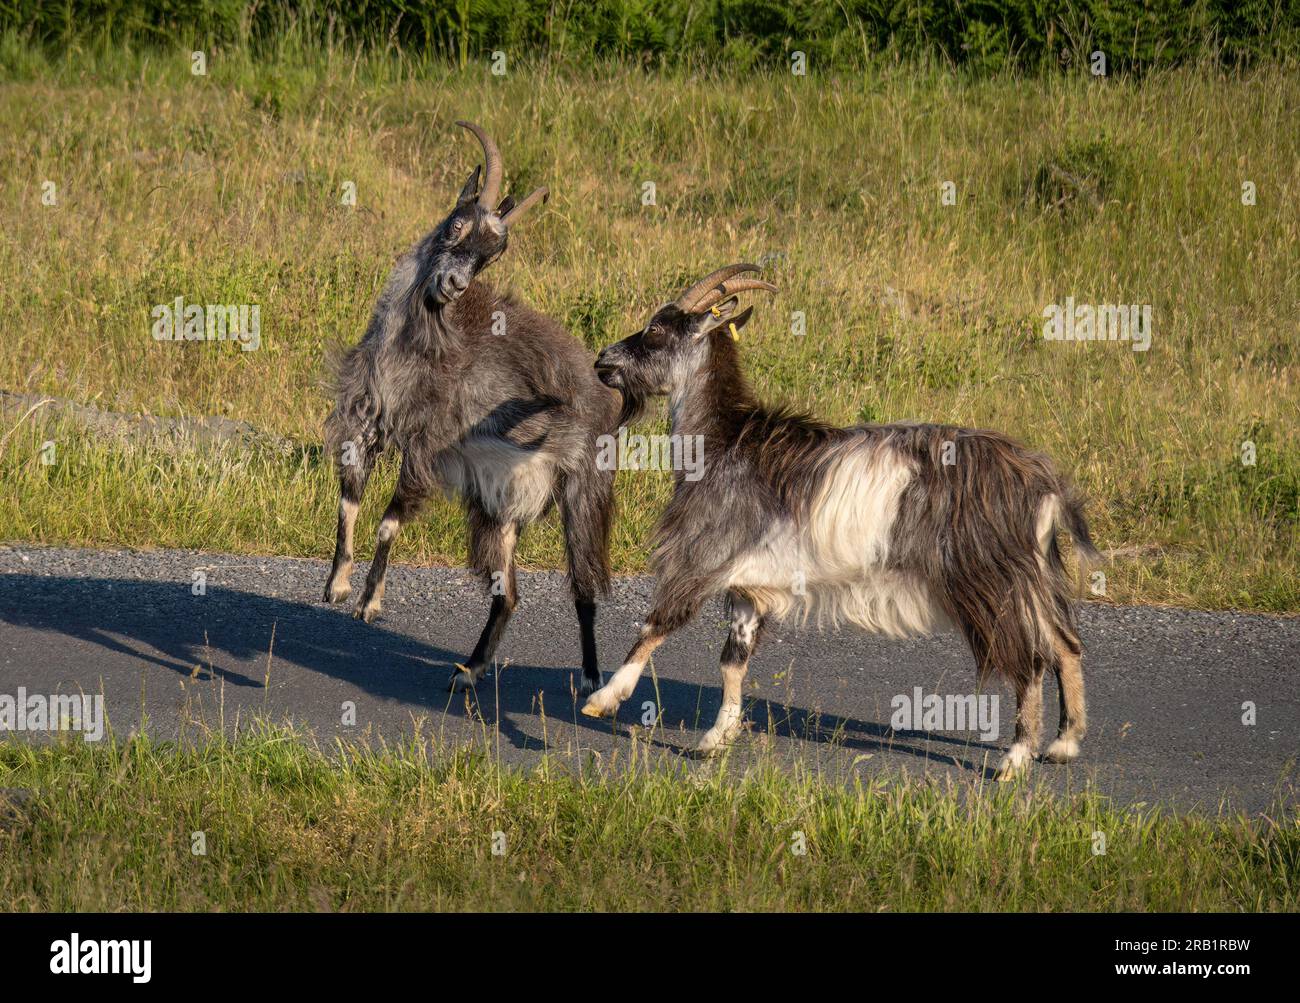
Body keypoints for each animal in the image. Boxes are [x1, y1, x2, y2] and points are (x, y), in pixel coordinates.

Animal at [323, 121, 619, 695]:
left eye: (492, 255)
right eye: (457, 224)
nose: (455, 285)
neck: (413, 348)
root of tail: (608, 396)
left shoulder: (425, 446)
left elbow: (388, 521)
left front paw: (370, 602)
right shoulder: (365, 418)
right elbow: (349, 501)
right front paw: (338, 585)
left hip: (582, 494)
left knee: (584, 588)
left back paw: (594, 680)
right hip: (498, 509)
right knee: (509, 595)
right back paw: (470, 670)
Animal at [581, 264, 1099, 778]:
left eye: (655, 328)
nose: (602, 360)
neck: (722, 441)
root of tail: (1044, 482)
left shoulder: (704, 554)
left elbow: (658, 623)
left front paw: (603, 698)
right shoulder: (750, 583)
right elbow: (732, 661)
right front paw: (716, 738)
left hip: (990, 580)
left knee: (1030, 659)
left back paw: (1017, 757)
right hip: (1031, 574)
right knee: (1065, 644)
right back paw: (1064, 743)